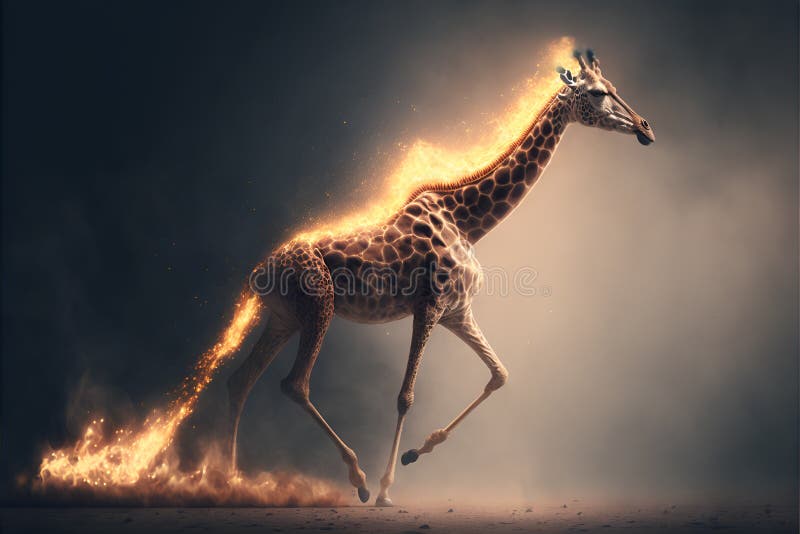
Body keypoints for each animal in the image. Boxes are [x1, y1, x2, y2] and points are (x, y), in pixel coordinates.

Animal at [225, 50, 654, 506]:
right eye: (597, 92)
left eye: (614, 87)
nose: (646, 127)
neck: (469, 222)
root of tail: (259, 272)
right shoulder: (429, 306)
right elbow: (405, 397)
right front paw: (386, 489)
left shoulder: (457, 312)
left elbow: (500, 375)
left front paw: (416, 452)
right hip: (318, 308)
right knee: (294, 384)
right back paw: (356, 479)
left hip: (284, 318)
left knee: (241, 381)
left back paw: (228, 479)